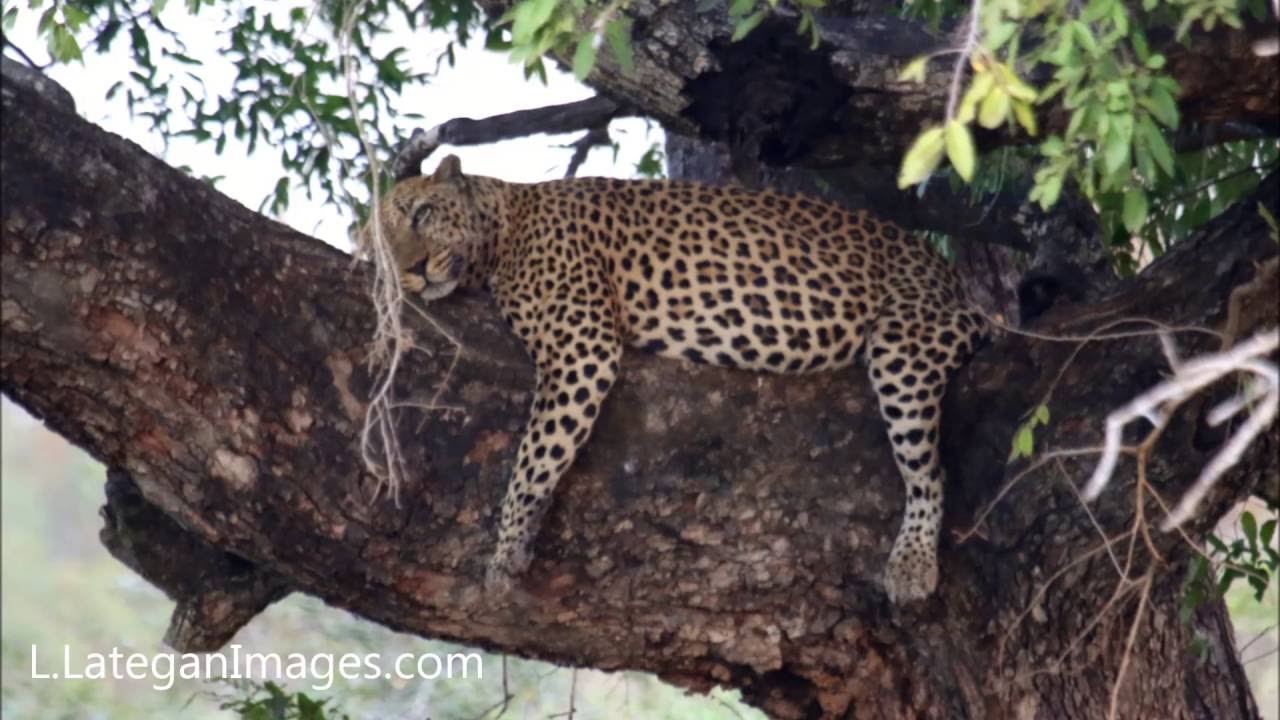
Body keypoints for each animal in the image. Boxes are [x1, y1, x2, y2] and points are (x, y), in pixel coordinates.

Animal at [364, 154, 985, 604]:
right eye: (381, 250)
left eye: (421, 214)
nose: (409, 271)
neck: (507, 221)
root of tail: (954, 282)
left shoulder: (581, 346)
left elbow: (535, 454)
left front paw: (506, 550)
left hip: (905, 343)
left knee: (931, 474)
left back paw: (911, 565)